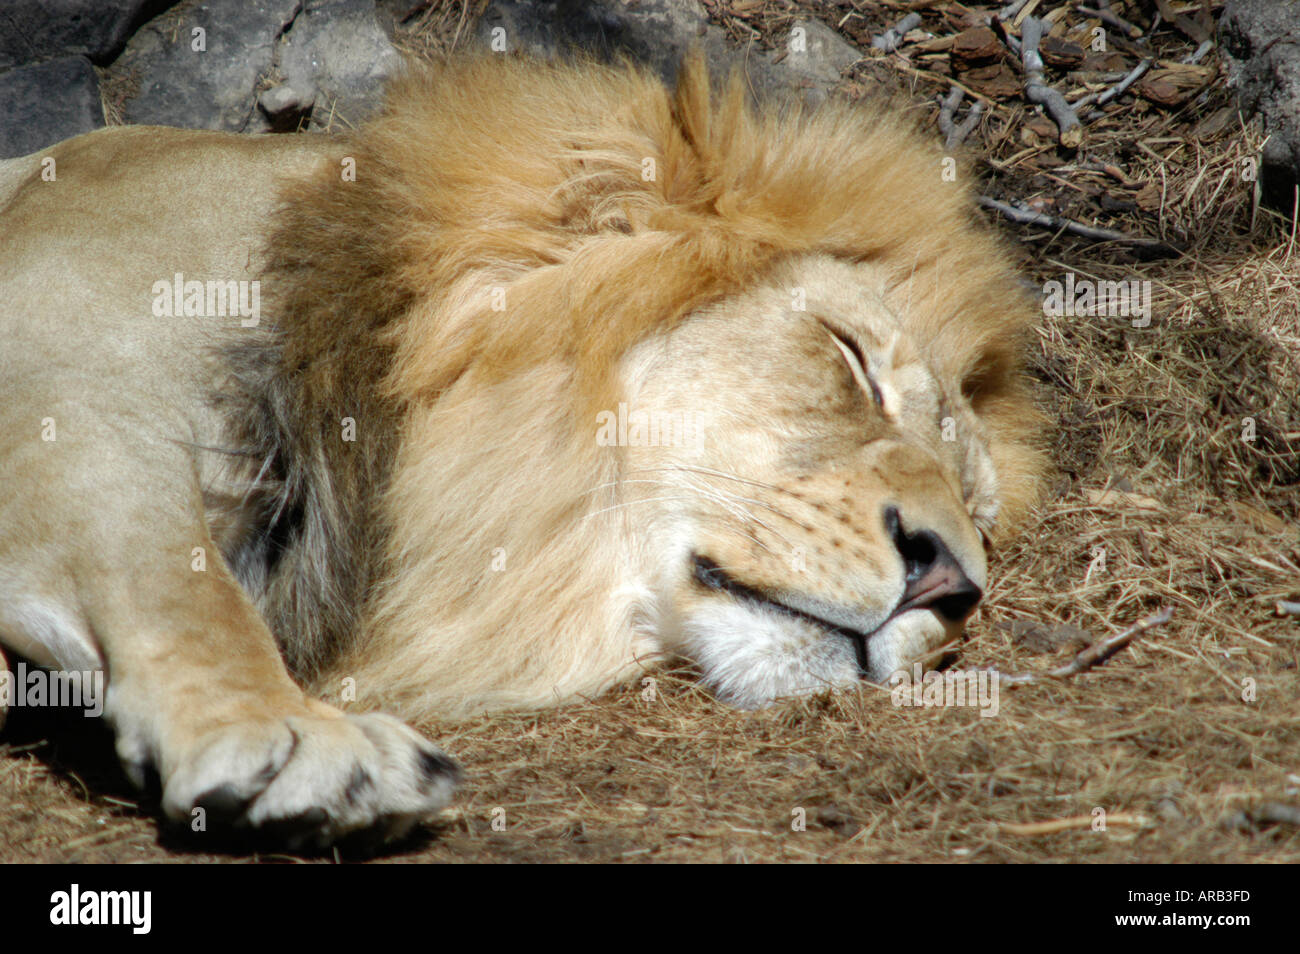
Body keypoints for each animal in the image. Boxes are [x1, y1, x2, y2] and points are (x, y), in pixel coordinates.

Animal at [0, 55, 1043, 848]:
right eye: (850, 359)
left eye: (978, 512)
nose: (950, 583)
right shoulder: (54, 386)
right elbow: (176, 580)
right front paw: (295, 739)